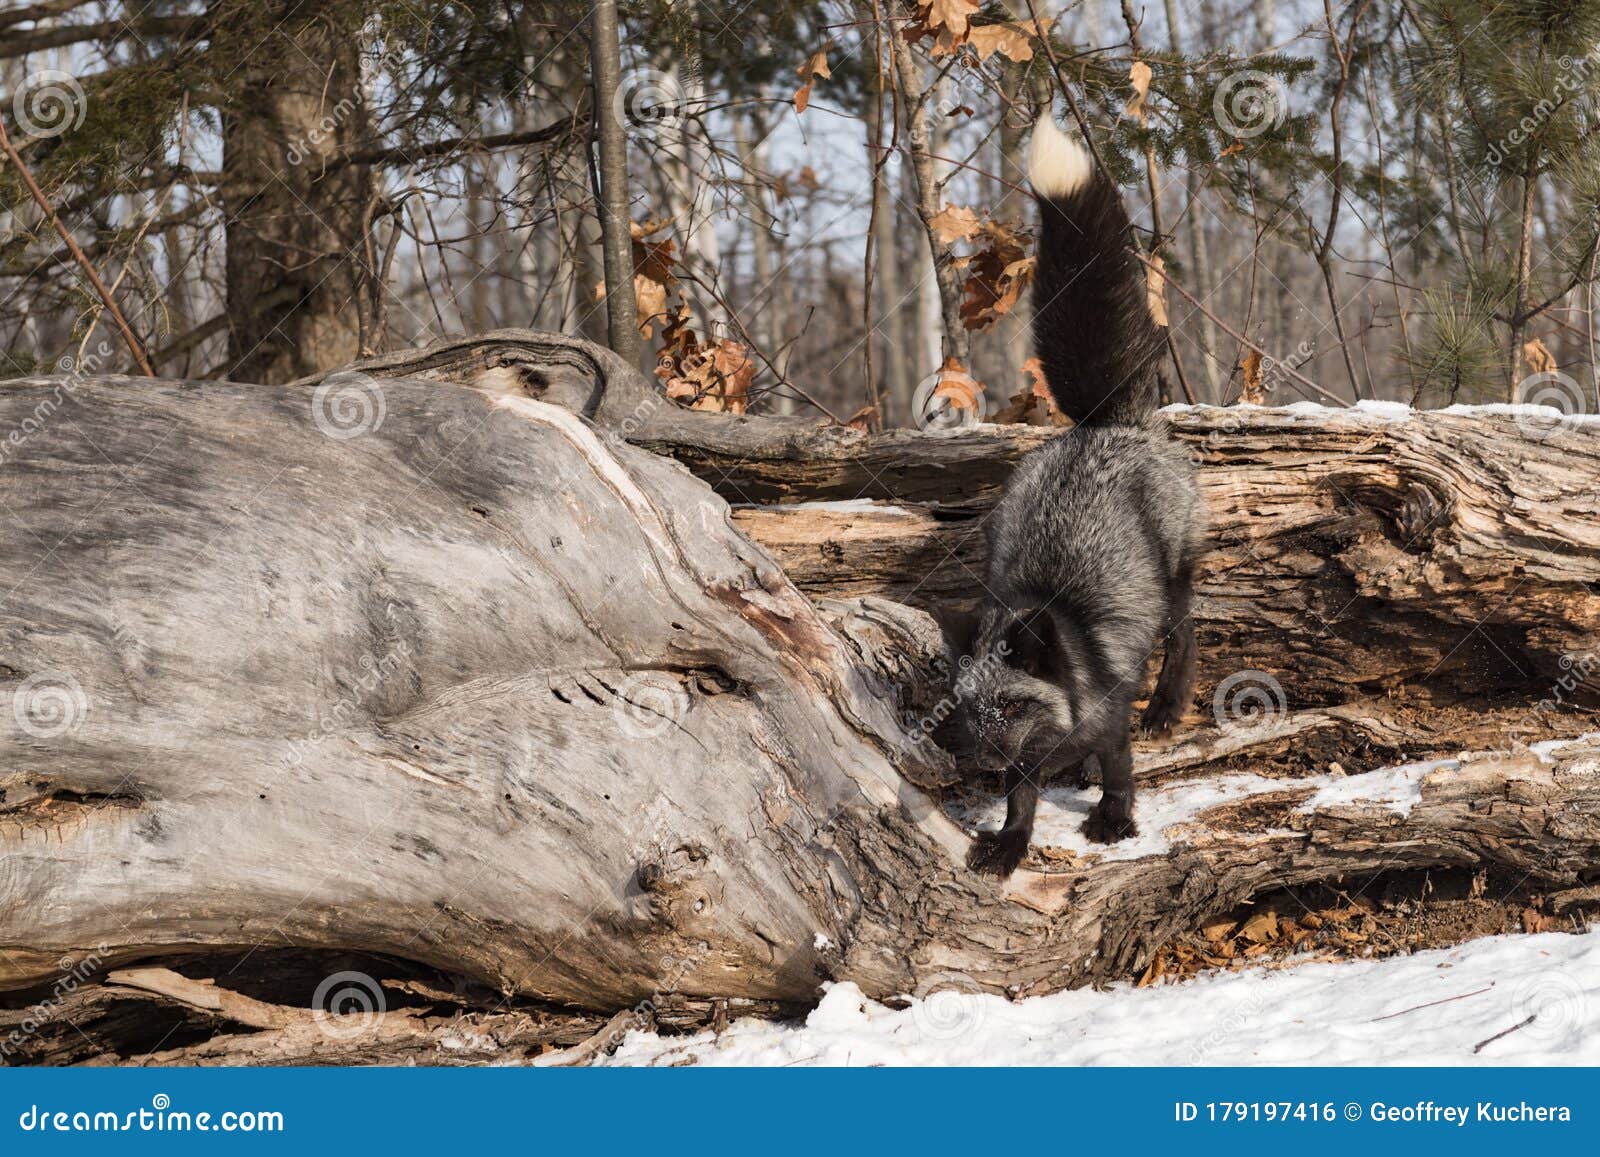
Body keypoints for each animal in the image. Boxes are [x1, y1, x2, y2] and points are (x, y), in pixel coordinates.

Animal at [957, 117, 1208, 878]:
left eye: (1012, 706)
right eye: (969, 708)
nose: (979, 761)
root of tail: (1104, 424)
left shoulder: (1107, 715)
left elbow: (1120, 766)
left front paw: (1116, 817)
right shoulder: (1024, 764)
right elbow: (1022, 797)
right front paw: (1010, 842)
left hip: (1171, 584)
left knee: (1187, 631)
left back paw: (1170, 703)